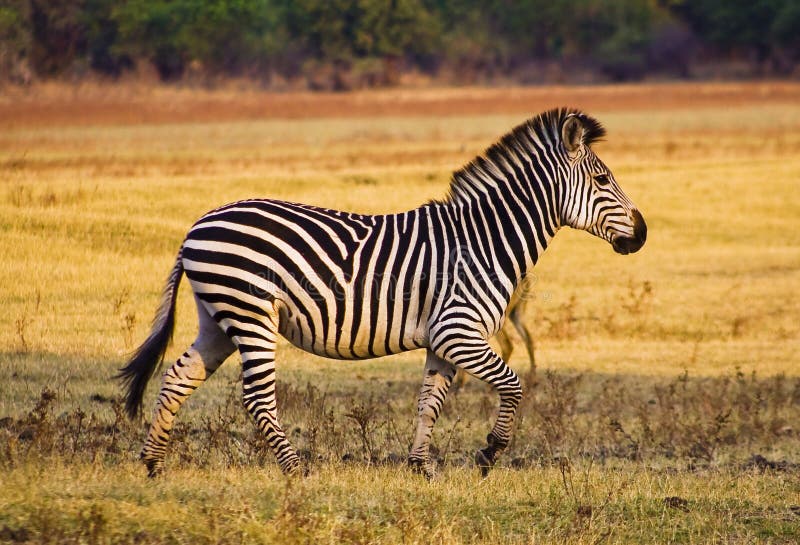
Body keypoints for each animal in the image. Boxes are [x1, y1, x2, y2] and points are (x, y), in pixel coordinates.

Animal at [119, 108, 647, 479]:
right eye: (603, 179)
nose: (641, 235)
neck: (484, 241)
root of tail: (197, 225)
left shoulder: (443, 338)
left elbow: (429, 401)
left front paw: (421, 467)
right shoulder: (459, 331)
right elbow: (513, 385)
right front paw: (489, 453)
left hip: (218, 318)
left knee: (179, 376)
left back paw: (153, 464)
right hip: (250, 314)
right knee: (257, 397)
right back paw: (295, 470)